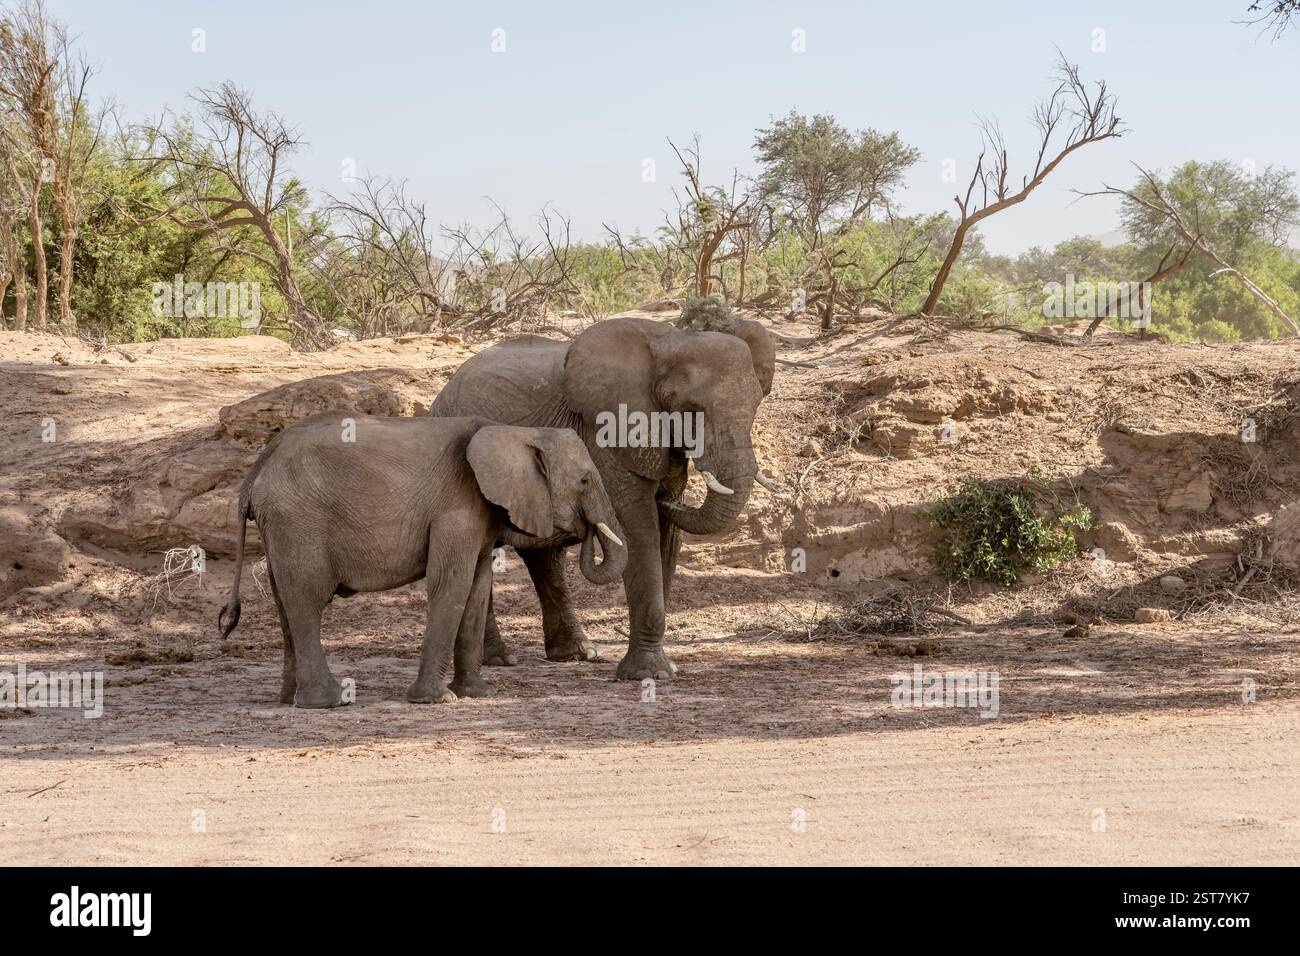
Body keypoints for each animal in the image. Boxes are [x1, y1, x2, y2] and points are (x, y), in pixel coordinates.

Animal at [216, 412, 627, 708]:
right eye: (585, 481)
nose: (589, 530)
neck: (515, 432)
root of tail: (258, 468)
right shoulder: (457, 507)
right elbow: (451, 584)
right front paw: (439, 700)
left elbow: (476, 589)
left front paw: (476, 694)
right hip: (298, 522)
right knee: (307, 602)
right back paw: (329, 702)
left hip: (281, 527)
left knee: (286, 604)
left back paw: (291, 699)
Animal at [429, 315, 776, 681]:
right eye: (689, 408)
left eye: (756, 403)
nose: (671, 503)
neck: (669, 340)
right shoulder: (606, 430)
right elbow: (636, 523)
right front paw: (648, 674)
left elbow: (667, 536)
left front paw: (662, 668)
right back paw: (498, 658)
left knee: (544, 557)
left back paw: (577, 653)